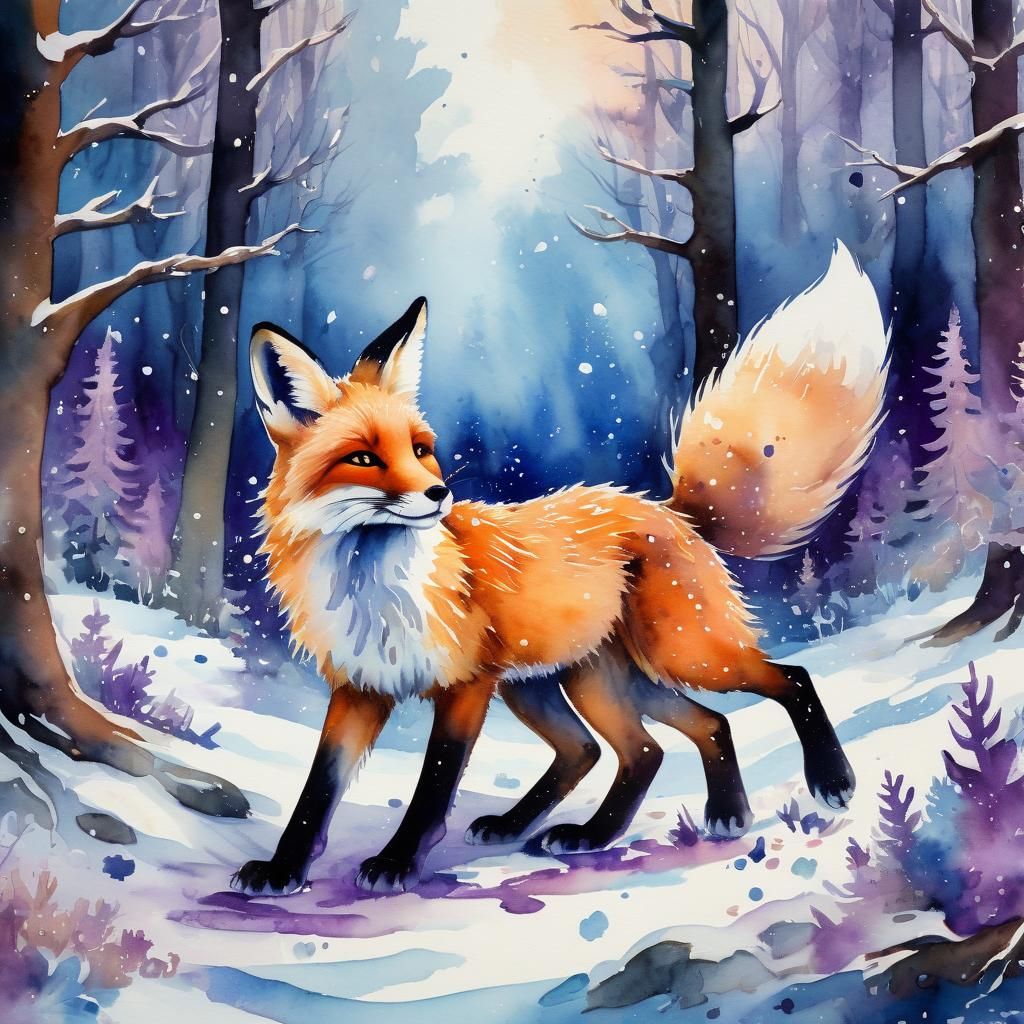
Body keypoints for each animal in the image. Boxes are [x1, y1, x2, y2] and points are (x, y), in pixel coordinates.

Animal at [233, 241, 888, 896]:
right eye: (364, 458)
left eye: (420, 449)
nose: (440, 494)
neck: (374, 587)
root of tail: (671, 509)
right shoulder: (359, 688)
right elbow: (316, 790)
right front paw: (283, 869)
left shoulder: (467, 686)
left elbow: (432, 787)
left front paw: (396, 862)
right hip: (577, 683)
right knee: (645, 744)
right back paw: (624, 827)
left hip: (680, 653)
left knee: (786, 680)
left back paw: (829, 781)